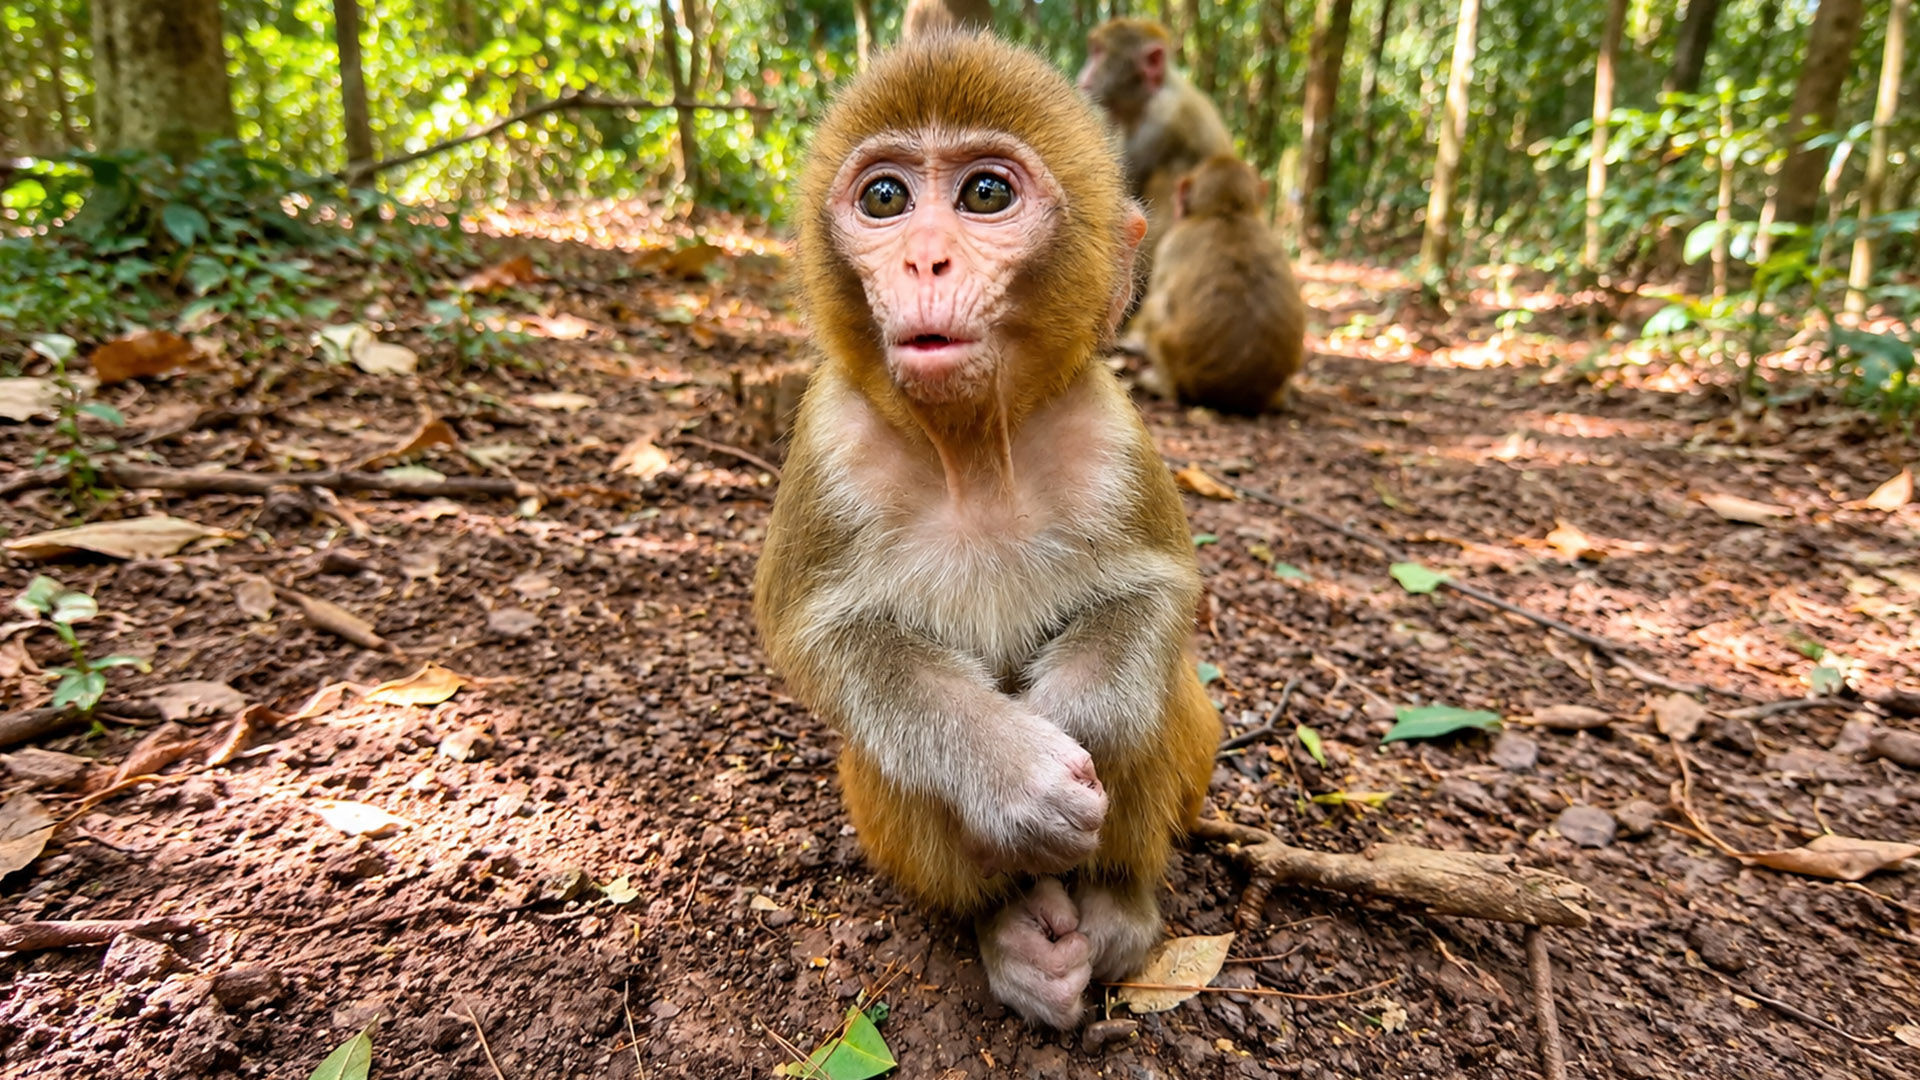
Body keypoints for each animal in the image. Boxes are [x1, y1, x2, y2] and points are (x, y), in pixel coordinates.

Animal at [753, 35, 1220, 1029]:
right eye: (884, 199)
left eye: (986, 193)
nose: (926, 261)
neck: (971, 449)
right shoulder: (829, 440)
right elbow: (819, 634)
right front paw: (1017, 779)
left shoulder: (1112, 429)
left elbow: (1157, 589)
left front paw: (1076, 724)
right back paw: (1009, 926)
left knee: (1163, 691)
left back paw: (1118, 906)